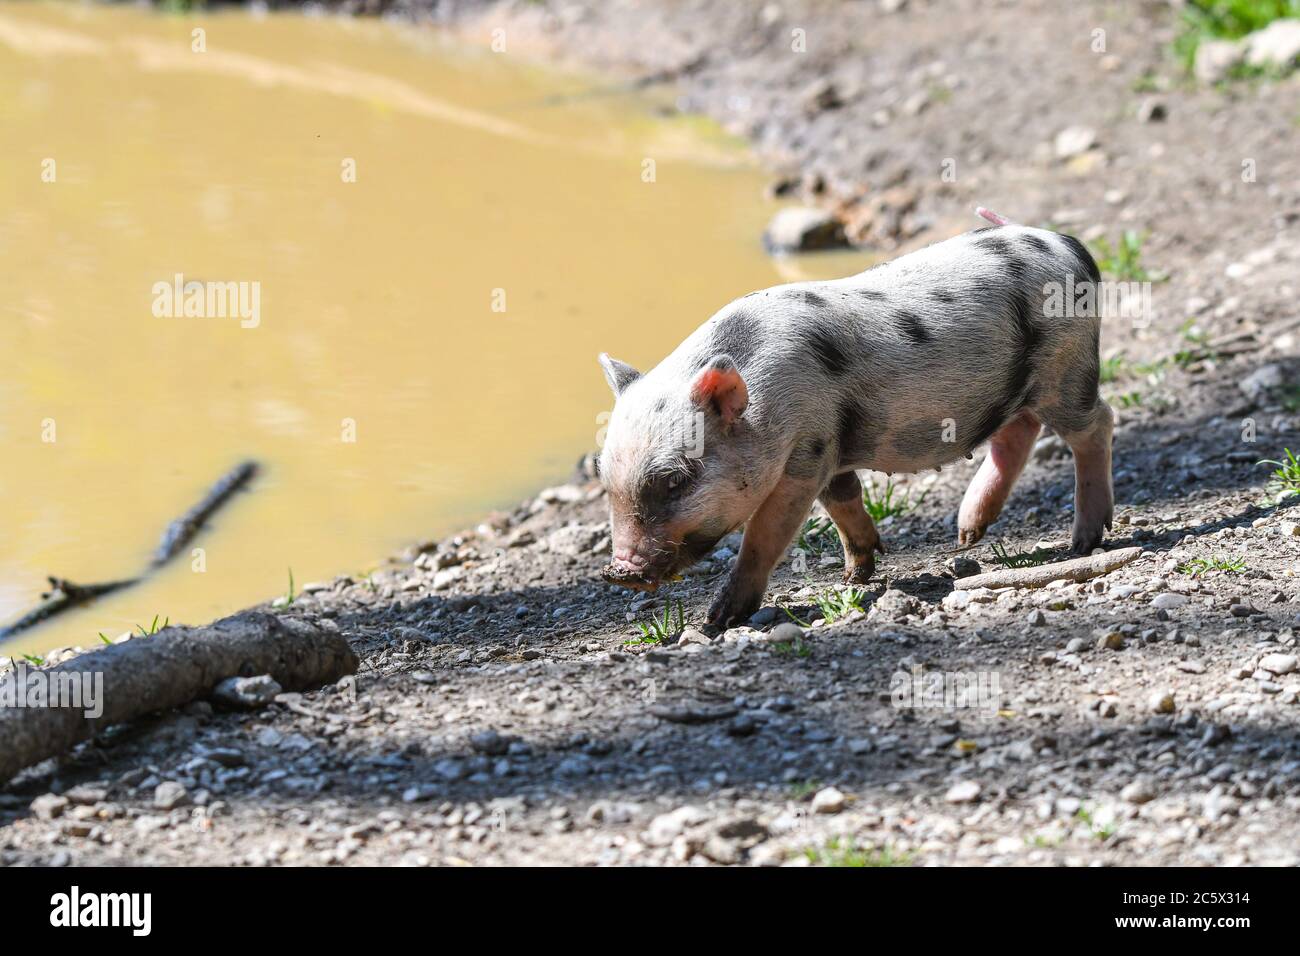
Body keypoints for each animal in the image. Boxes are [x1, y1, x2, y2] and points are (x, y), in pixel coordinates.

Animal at [596, 214, 1113, 627]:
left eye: (675, 481)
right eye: (606, 478)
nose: (620, 571)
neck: (765, 402)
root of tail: (1070, 245)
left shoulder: (807, 451)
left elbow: (766, 535)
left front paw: (717, 621)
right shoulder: (830, 446)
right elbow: (844, 499)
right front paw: (856, 573)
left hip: (1066, 370)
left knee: (1097, 424)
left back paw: (1084, 542)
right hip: (1017, 387)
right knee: (1018, 433)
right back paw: (966, 535)